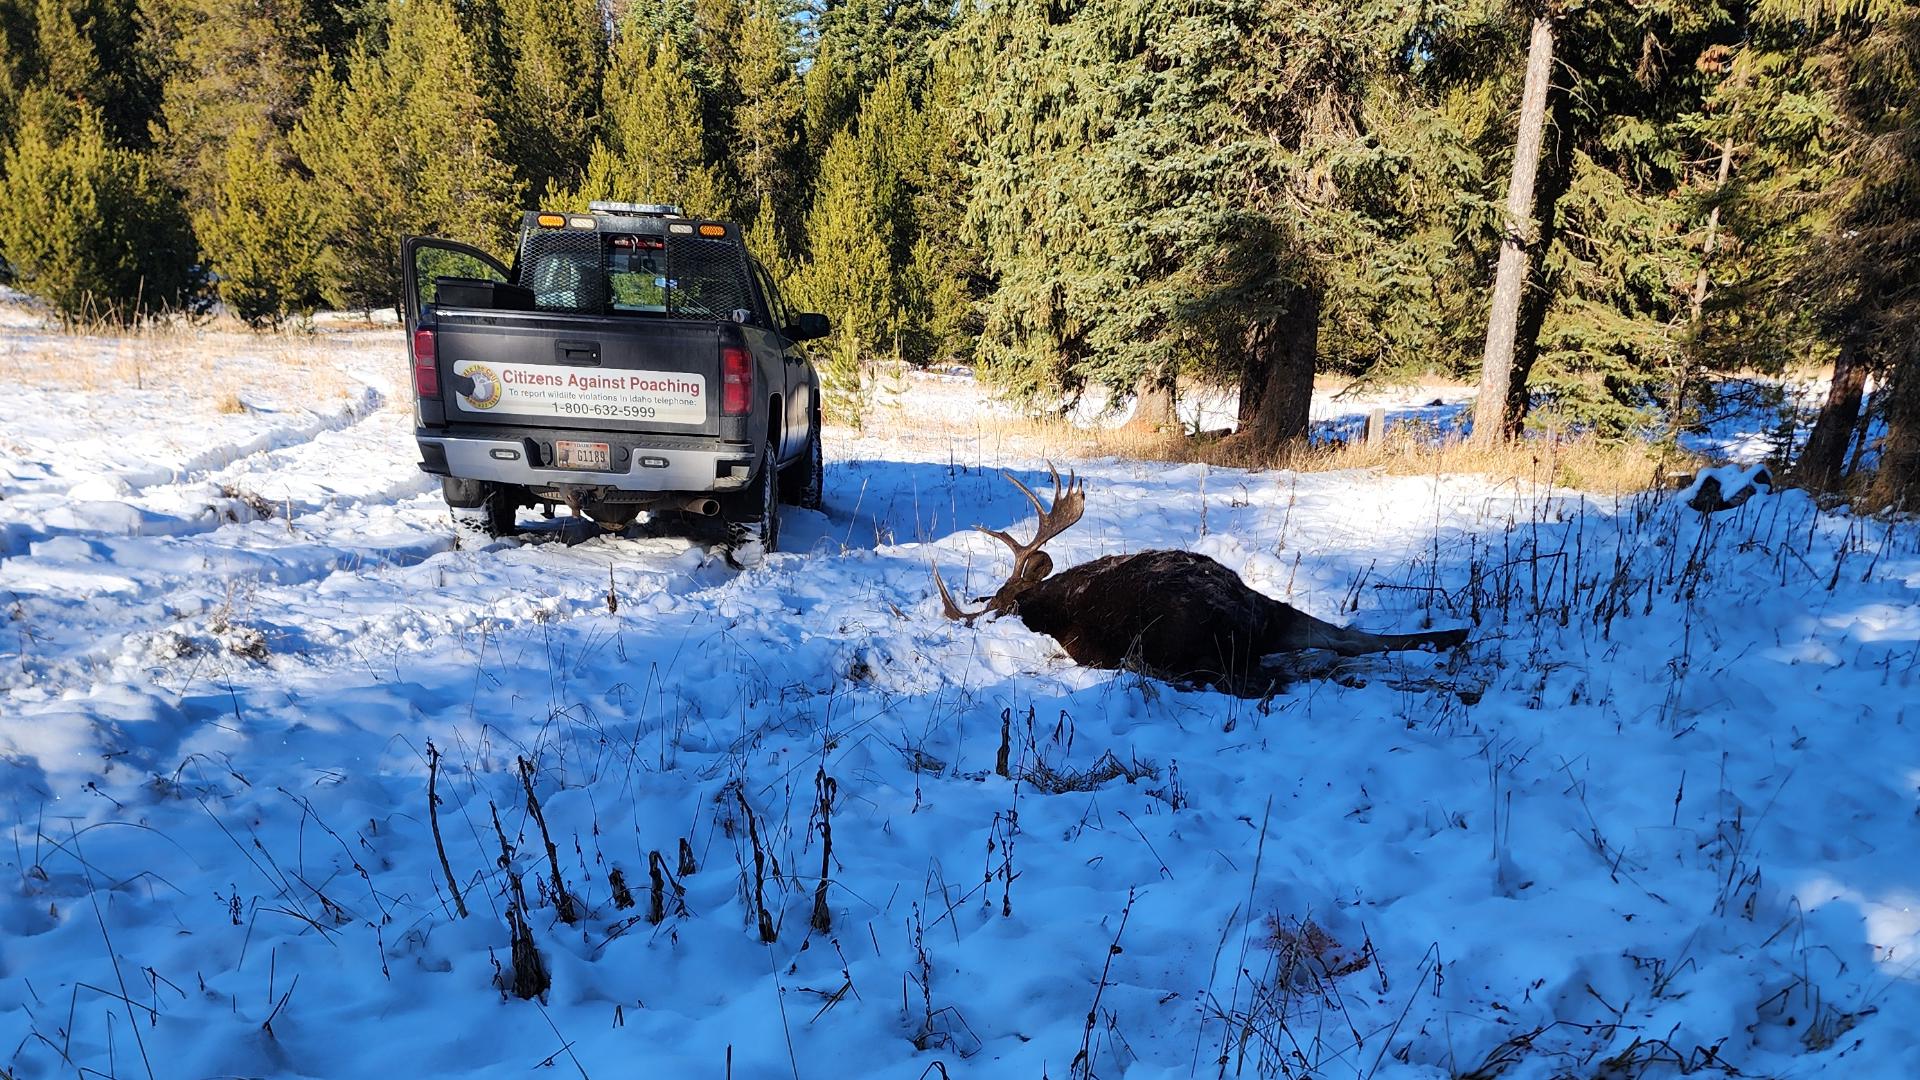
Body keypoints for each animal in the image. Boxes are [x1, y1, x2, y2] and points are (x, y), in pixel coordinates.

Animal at [935, 465, 1469, 696]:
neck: (1048, 601)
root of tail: (1247, 621)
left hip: (1177, 642)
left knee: (1251, 679)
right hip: (1275, 611)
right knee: (1351, 637)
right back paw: (1451, 636)